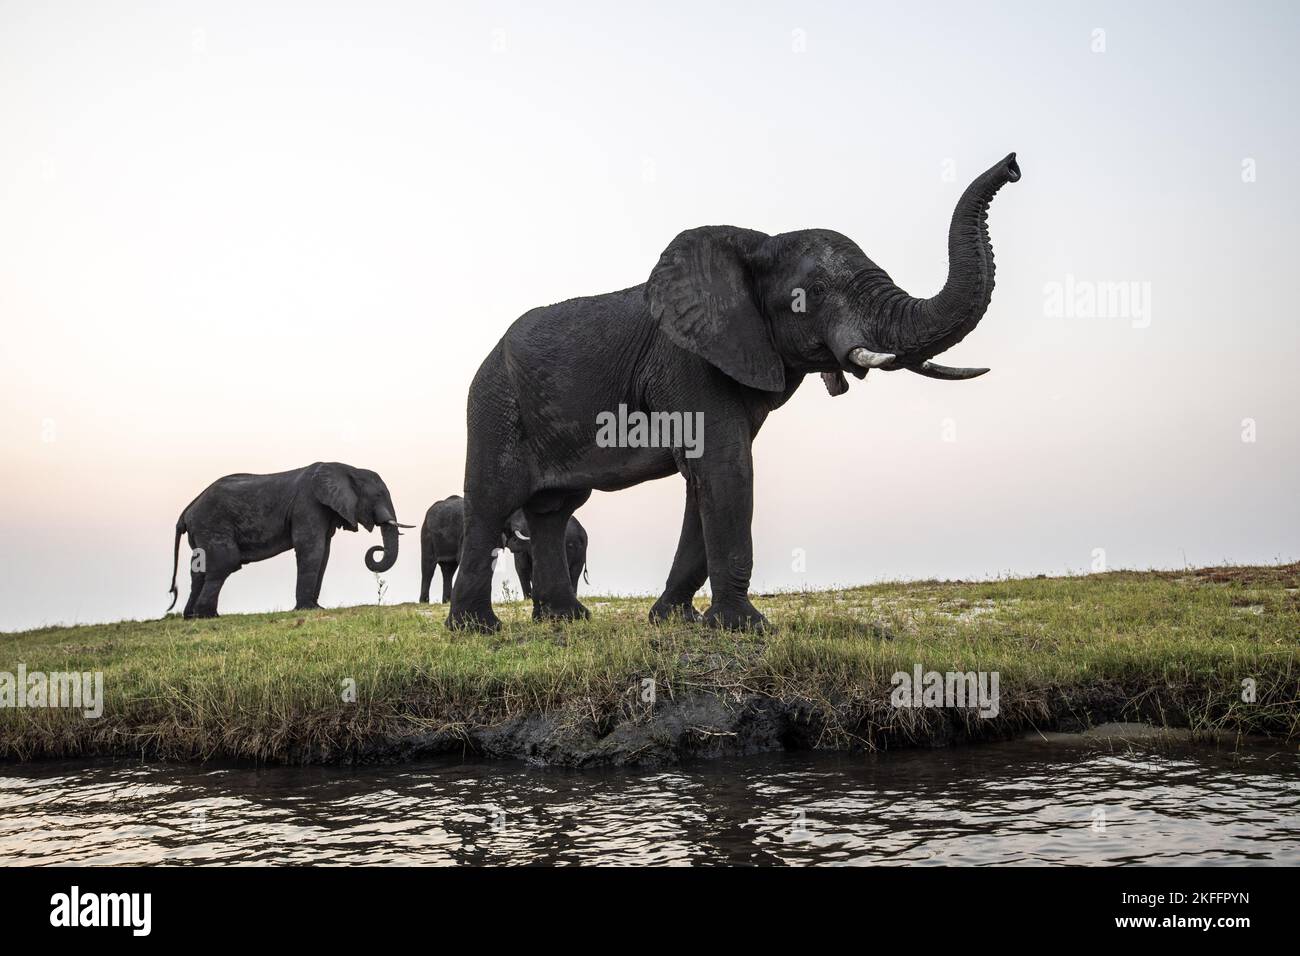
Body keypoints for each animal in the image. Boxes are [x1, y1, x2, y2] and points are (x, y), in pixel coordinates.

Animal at [167, 461, 411, 618]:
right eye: (378, 495)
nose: (376, 548)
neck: (347, 468)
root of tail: (186, 510)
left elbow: (324, 552)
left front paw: (316, 607)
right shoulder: (308, 504)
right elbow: (311, 548)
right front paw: (308, 610)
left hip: (202, 531)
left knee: (199, 569)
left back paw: (192, 616)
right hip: (213, 523)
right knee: (225, 562)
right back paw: (208, 616)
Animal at [448, 153, 1021, 632]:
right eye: (809, 297)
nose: (1013, 165)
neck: (758, 243)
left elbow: (705, 477)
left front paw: (673, 620)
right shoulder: (686, 360)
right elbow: (726, 465)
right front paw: (745, 628)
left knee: (555, 509)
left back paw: (565, 621)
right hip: (494, 403)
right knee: (494, 499)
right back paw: (476, 629)